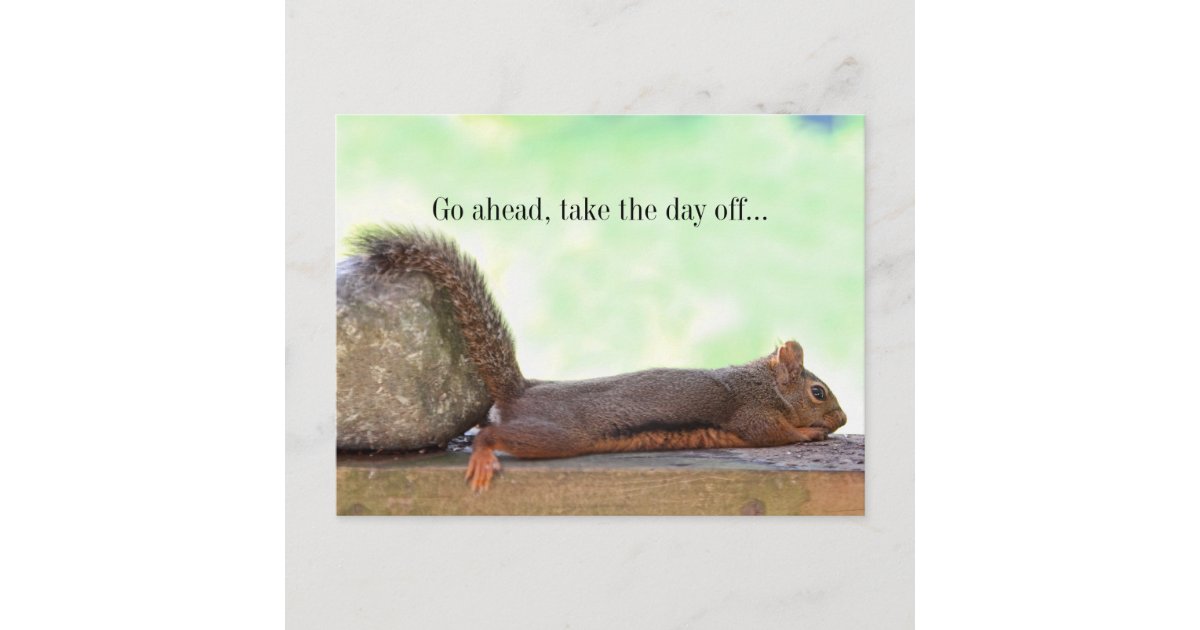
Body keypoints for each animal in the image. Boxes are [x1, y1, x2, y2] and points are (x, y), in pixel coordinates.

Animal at [348, 225, 847, 491]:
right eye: (818, 392)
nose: (842, 420)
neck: (762, 385)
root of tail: (520, 391)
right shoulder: (750, 414)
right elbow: (773, 434)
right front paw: (810, 432)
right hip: (556, 435)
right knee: (492, 434)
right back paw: (485, 451)